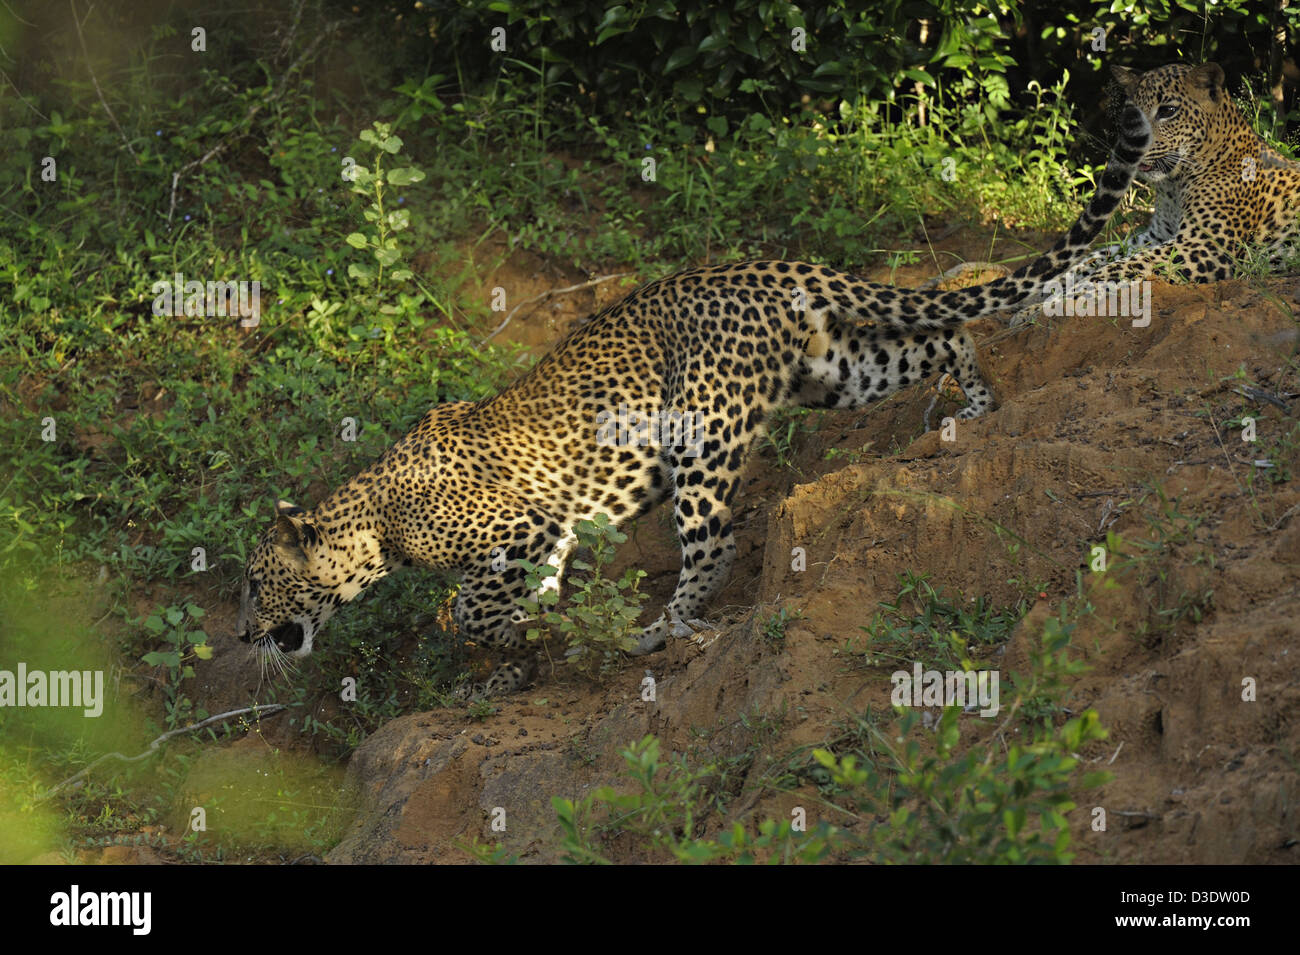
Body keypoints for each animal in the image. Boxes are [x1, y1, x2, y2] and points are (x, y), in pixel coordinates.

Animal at [237, 104, 1152, 699]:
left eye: (253, 584)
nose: (241, 637)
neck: (377, 525)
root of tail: (770, 266)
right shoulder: (547, 536)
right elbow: (520, 602)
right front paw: (516, 660)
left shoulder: (521, 527)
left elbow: (471, 602)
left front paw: (502, 640)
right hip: (837, 370)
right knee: (946, 334)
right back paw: (978, 405)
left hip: (703, 433)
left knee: (715, 545)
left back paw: (667, 627)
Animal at [1016, 62, 1300, 324]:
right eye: (1132, 113)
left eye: (1168, 111)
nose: (1130, 144)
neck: (1174, 184)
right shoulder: (1156, 235)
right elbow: (1094, 258)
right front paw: (1035, 292)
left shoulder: (1203, 245)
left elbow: (1116, 267)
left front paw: (1048, 306)